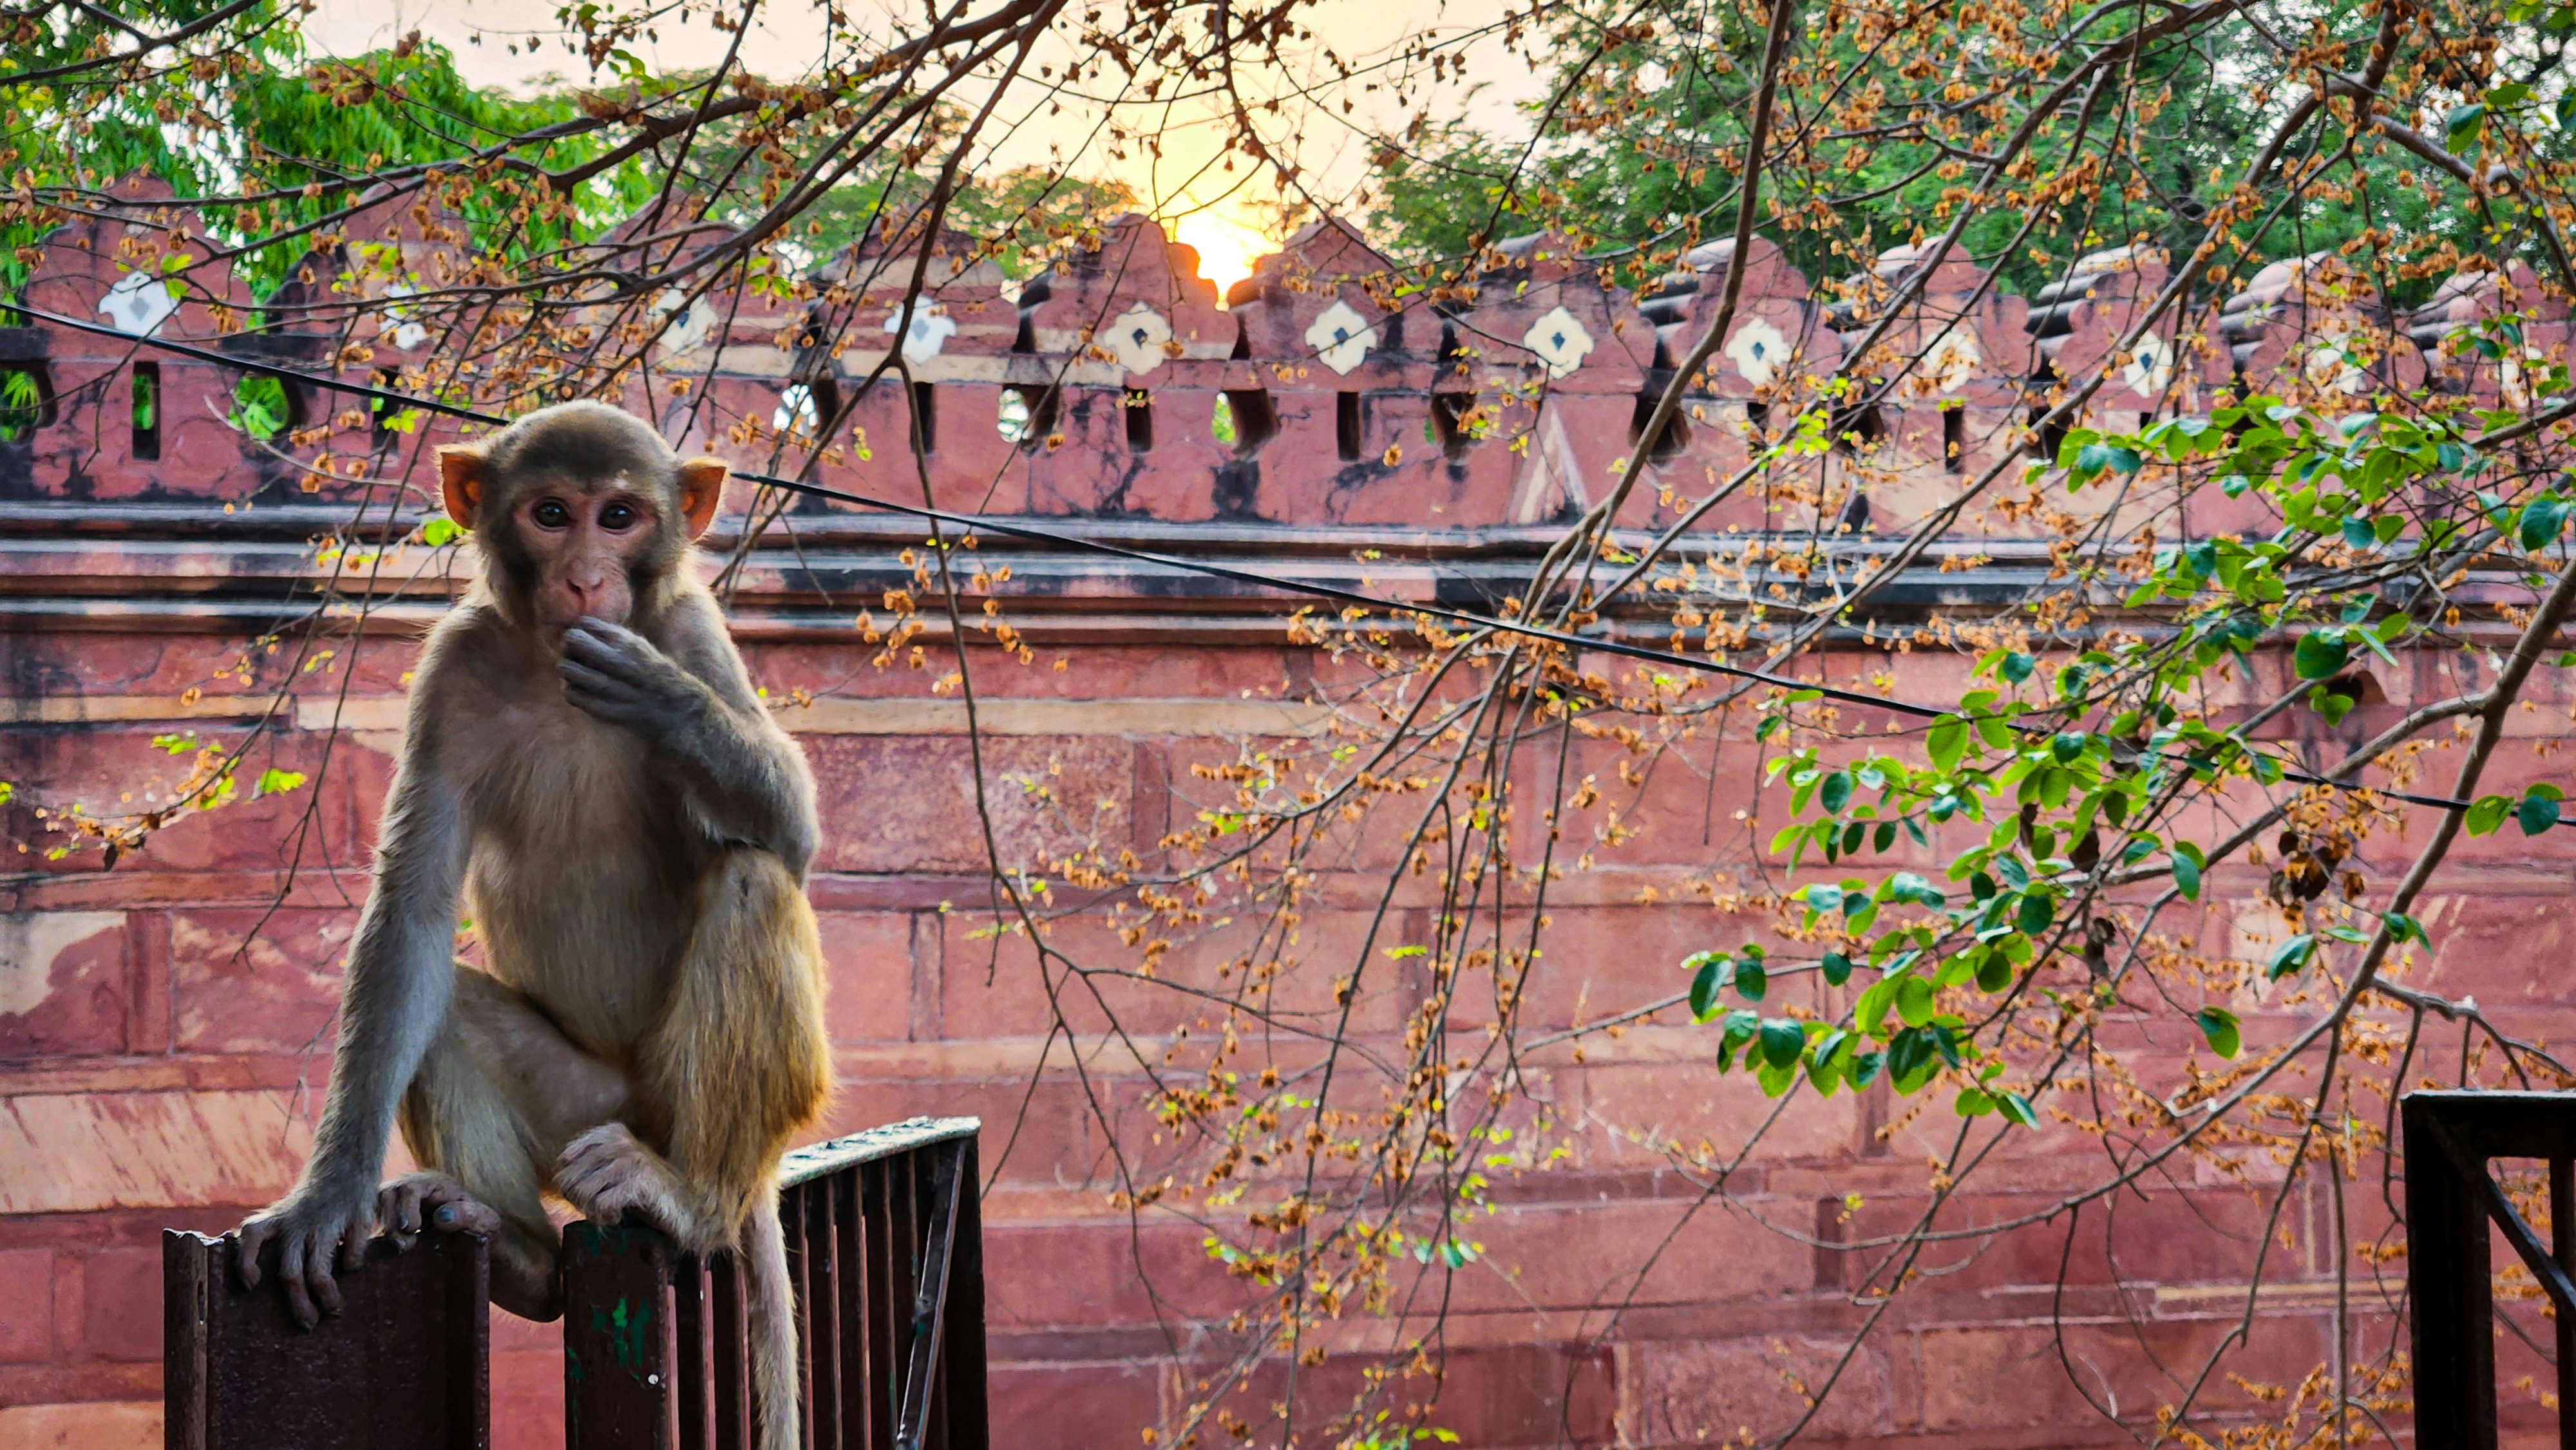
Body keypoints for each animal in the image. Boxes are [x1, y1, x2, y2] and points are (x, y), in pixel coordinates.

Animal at [234, 400, 831, 1450]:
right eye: (553, 513)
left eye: (621, 516)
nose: (587, 575)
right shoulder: (452, 666)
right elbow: (412, 912)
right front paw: (327, 1196)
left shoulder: (691, 626)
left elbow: (791, 838)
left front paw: (668, 704)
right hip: (581, 1107)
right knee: (436, 1004)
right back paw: (509, 1249)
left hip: (701, 1106)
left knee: (754, 879)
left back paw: (693, 1206)